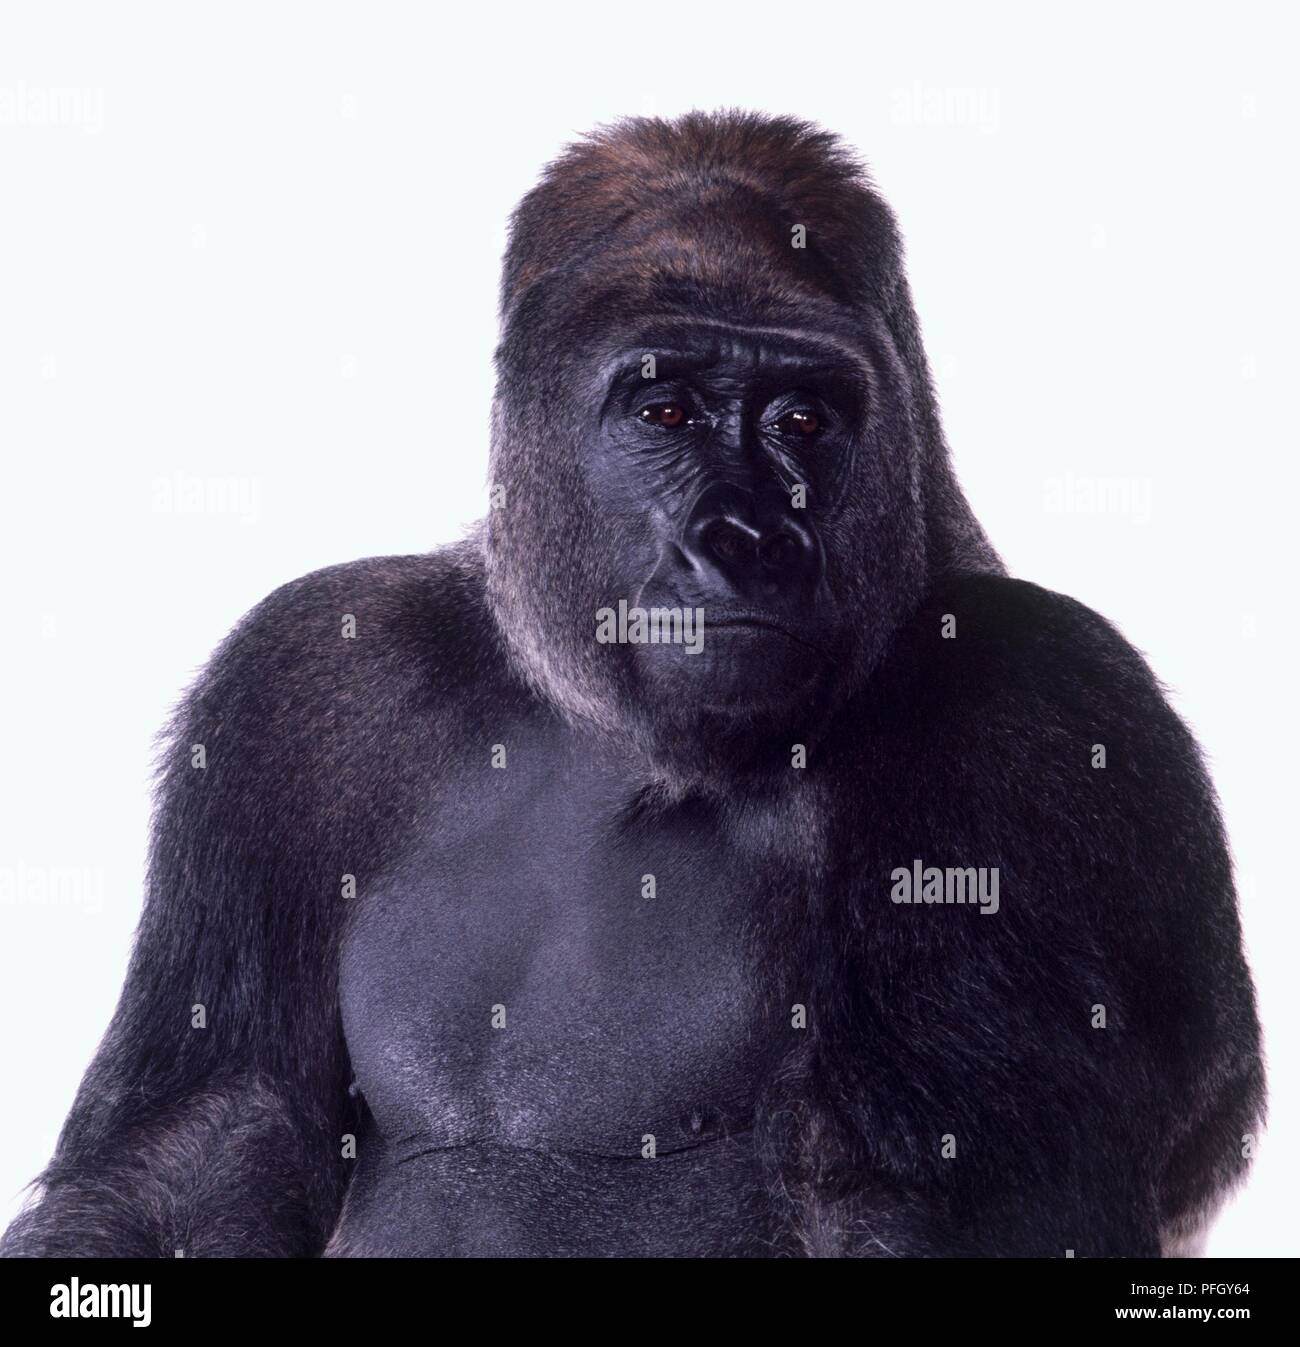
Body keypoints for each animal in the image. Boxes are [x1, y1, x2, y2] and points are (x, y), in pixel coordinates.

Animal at [2, 111, 1263, 1258]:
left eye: (804, 418)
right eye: (665, 410)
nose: (749, 536)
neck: (607, 725)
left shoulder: (1039, 713)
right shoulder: (301, 685)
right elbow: (203, 1147)